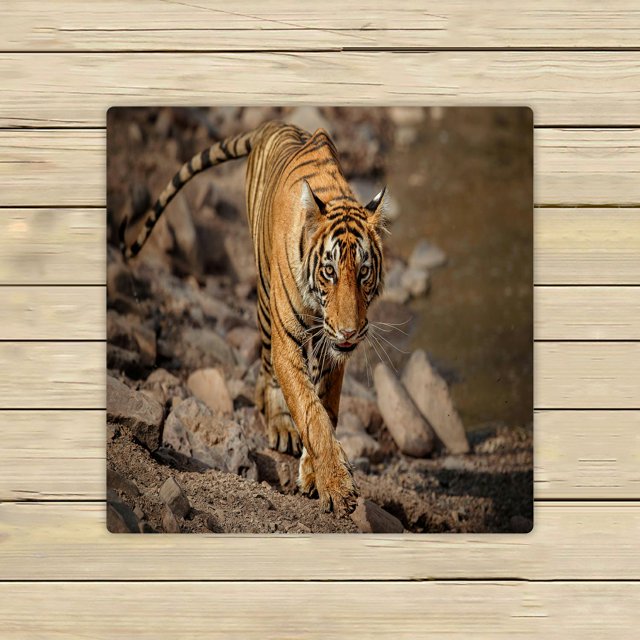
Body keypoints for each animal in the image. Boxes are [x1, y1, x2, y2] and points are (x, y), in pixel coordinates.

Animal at [120, 120, 387, 515]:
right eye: (330, 271)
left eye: (364, 273)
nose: (350, 332)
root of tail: (274, 125)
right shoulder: (289, 341)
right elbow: (310, 412)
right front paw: (337, 487)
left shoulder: (332, 350)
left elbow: (326, 407)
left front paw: (313, 474)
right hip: (264, 300)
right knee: (266, 369)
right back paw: (278, 423)